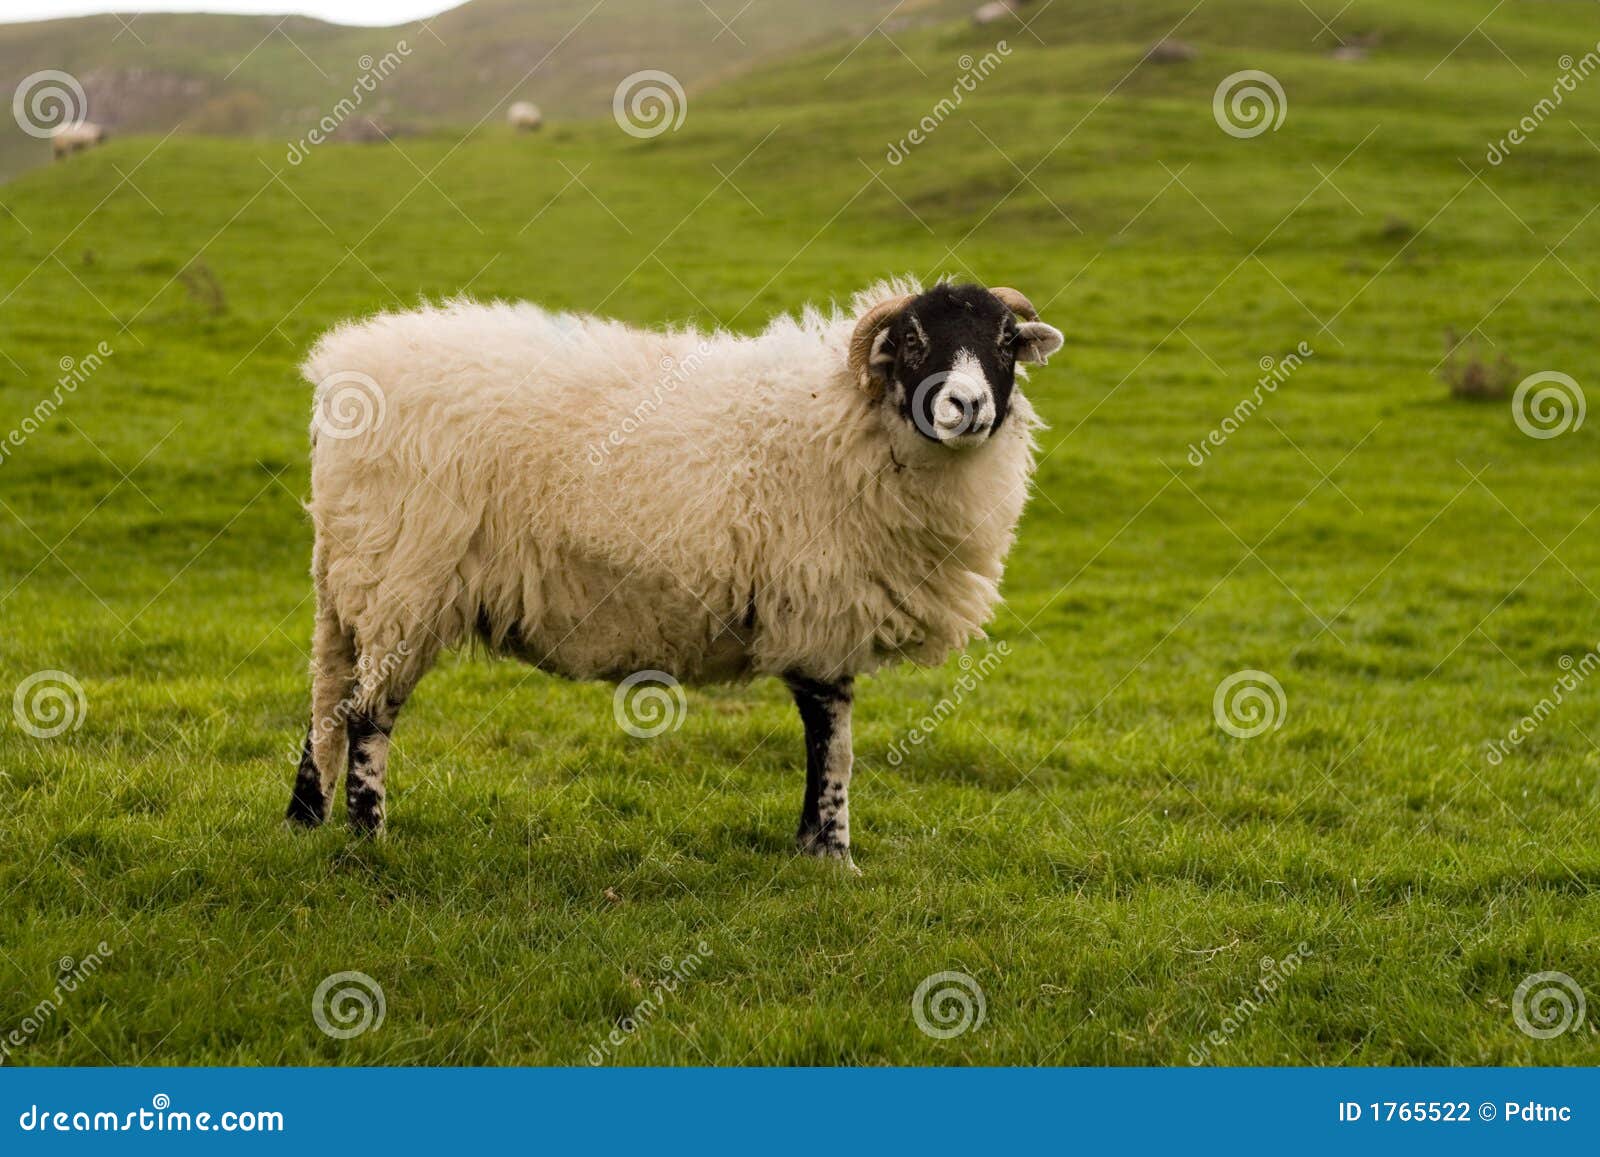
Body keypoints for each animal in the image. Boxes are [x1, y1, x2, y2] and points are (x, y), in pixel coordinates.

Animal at [283, 279, 1064, 865]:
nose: (968, 405)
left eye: (1005, 342)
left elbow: (823, 737)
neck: (849, 420)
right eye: (911, 341)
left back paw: (305, 816)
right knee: (369, 715)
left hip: (350, 574)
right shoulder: (822, 606)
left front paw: (810, 845)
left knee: (328, 697)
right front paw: (834, 853)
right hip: (403, 576)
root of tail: (339, 373)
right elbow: (834, 742)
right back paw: (368, 836)